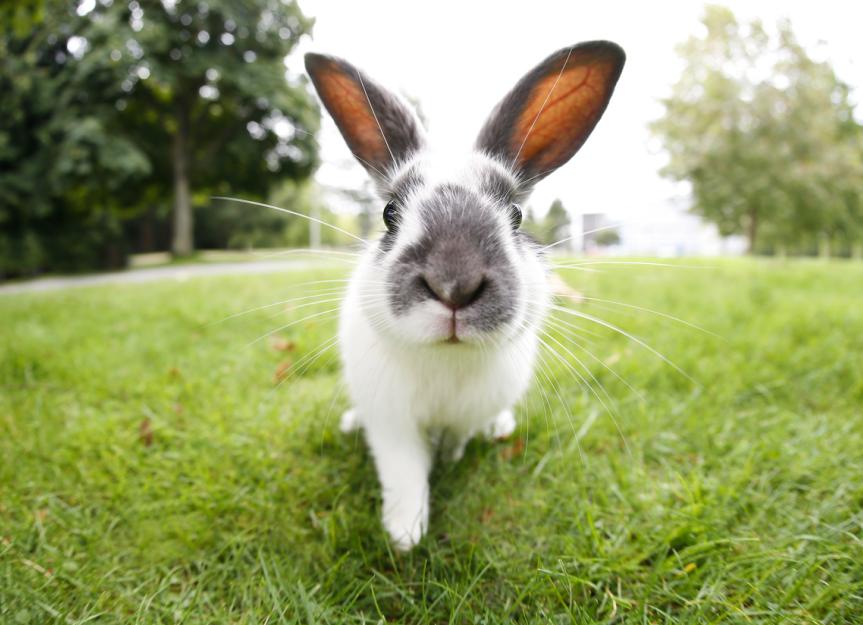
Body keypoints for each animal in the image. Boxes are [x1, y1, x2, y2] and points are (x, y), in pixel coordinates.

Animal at [304, 41, 625, 550]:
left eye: (516, 215)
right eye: (389, 213)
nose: (453, 284)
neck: (446, 359)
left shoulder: (465, 415)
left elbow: (455, 441)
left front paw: (449, 463)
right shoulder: (392, 424)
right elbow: (405, 474)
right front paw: (404, 534)